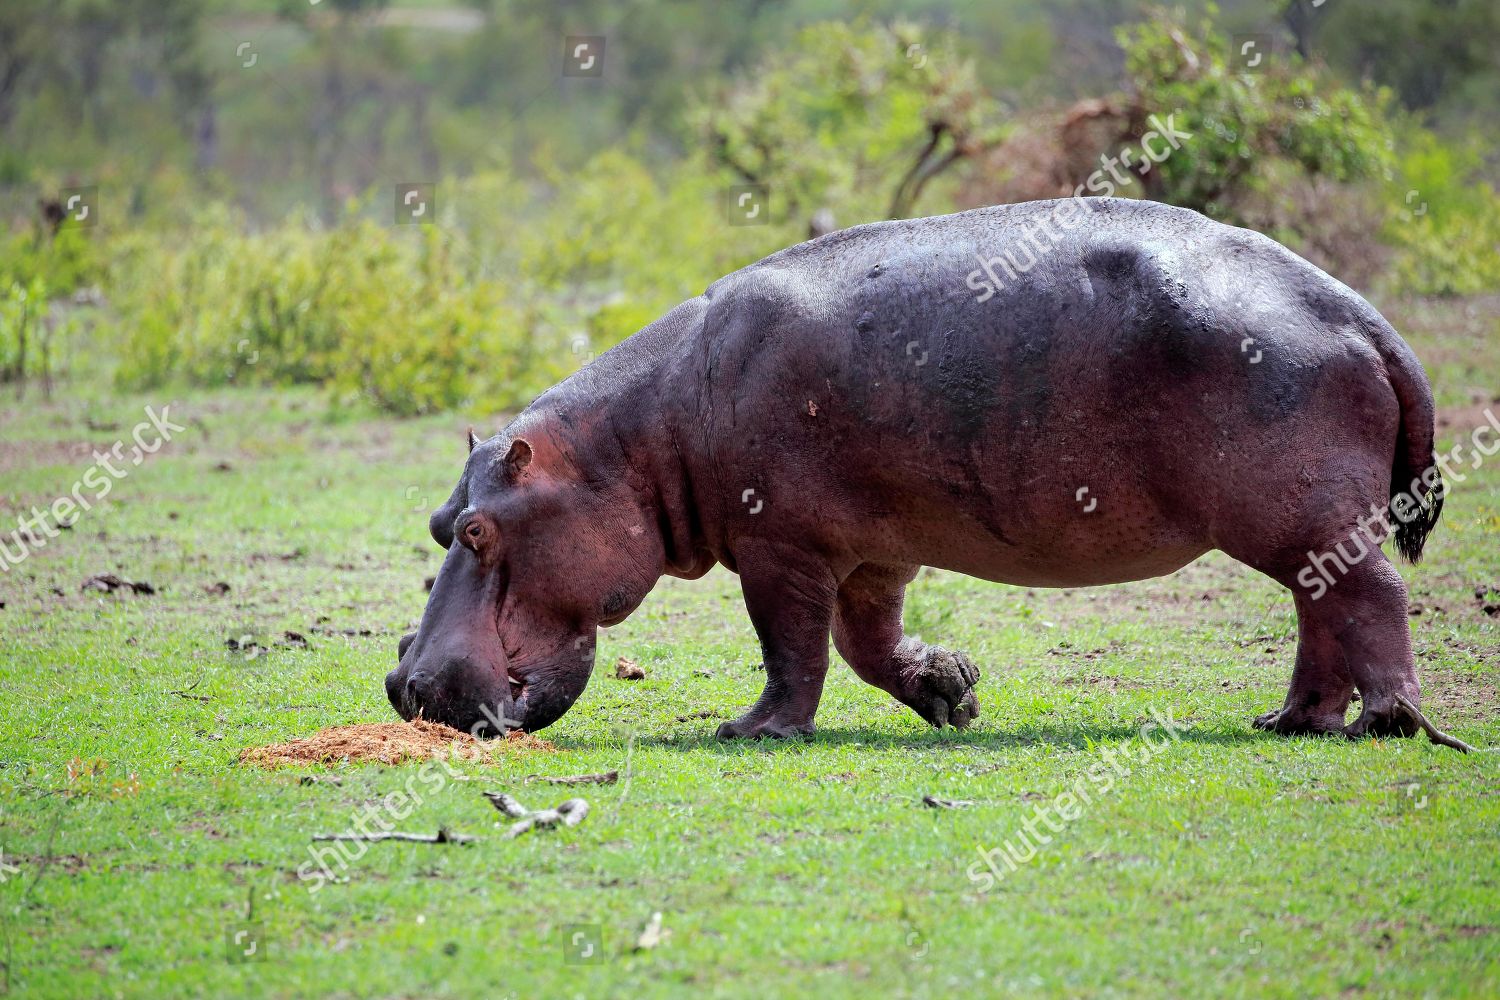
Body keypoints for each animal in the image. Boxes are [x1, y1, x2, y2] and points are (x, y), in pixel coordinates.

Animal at [388, 197, 1451, 745]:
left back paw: (1389, 723)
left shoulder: (779, 546)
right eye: (440, 525)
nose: (405, 686)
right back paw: (1293, 722)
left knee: (1371, 595)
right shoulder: (871, 551)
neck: (636, 438)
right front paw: (953, 693)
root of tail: (1358, 312)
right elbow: (866, 644)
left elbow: (792, 649)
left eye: (479, 529)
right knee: (1323, 608)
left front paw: (753, 731)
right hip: (1303, 527)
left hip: (1299, 515)